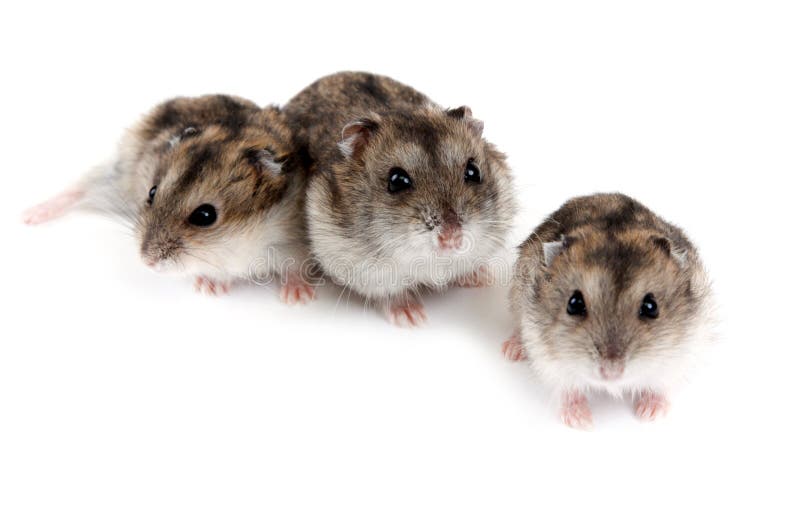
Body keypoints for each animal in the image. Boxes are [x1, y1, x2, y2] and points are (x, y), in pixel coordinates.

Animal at [23, 95, 315, 303]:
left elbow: (294, 269)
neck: (245, 236)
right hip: (119, 176)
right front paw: (210, 288)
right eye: (152, 193)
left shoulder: (293, 242)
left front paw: (298, 298)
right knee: (80, 188)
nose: (147, 262)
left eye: (205, 216)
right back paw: (30, 216)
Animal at [283, 72, 515, 325]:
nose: (452, 238)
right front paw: (411, 318)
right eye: (397, 181)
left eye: (473, 172)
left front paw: (482, 278)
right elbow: (391, 295)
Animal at [504, 193, 712, 429]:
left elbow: (661, 385)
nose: (611, 373)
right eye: (574, 304)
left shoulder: (684, 350)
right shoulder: (546, 354)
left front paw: (648, 414)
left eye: (651, 307)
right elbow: (568, 388)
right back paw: (511, 350)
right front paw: (581, 421)